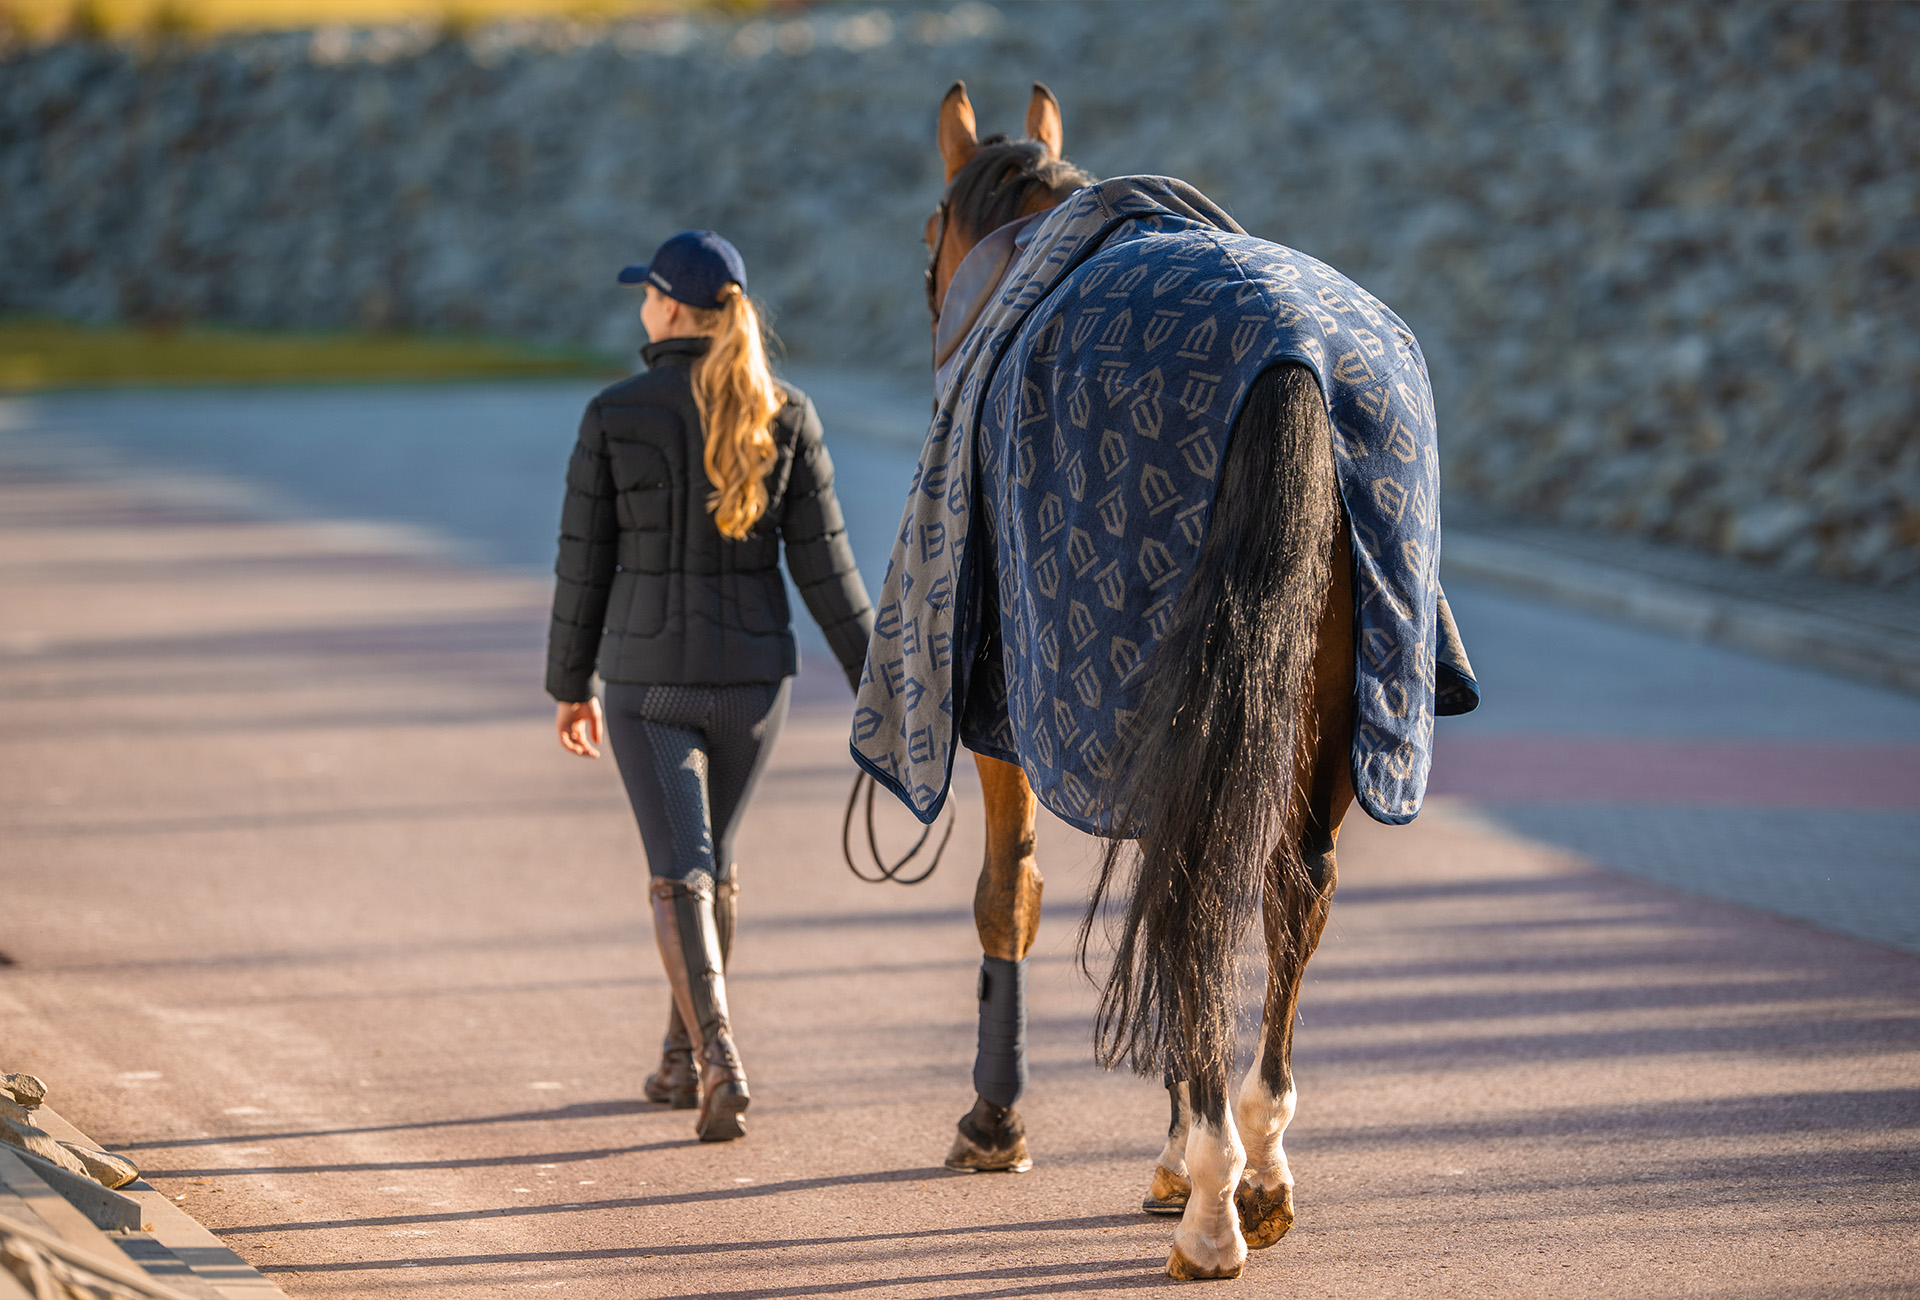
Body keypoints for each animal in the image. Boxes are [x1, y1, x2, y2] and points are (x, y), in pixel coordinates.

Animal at [852, 82, 1476, 1280]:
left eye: (923, 238)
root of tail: (1295, 362)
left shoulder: (1015, 723)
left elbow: (1010, 896)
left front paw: (1002, 1122)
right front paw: (1185, 1145)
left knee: (1196, 893)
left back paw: (1214, 1208)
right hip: (1319, 722)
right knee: (1276, 890)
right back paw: (1259, 1167)